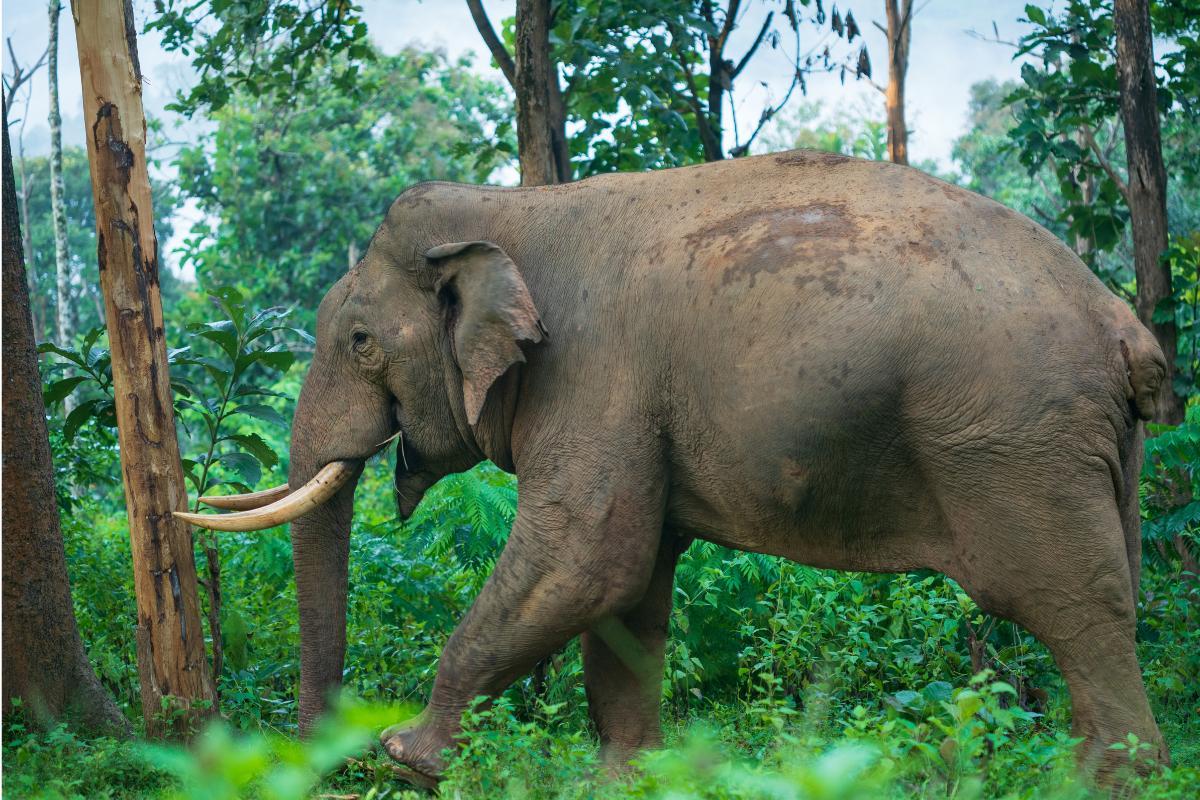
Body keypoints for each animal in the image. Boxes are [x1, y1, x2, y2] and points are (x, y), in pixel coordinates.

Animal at [180, 149, 1170, 785]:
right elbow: (630, 587)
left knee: (1072, 602)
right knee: (1109, 586)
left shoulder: (594, 375)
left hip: (1014, 440)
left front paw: (410, 759)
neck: (512, 207)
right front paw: (626, 778)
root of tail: (1125, 326)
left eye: (359, 342)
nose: (325, 762)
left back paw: (1113, 778)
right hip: (1084, 444)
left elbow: (583, 559)